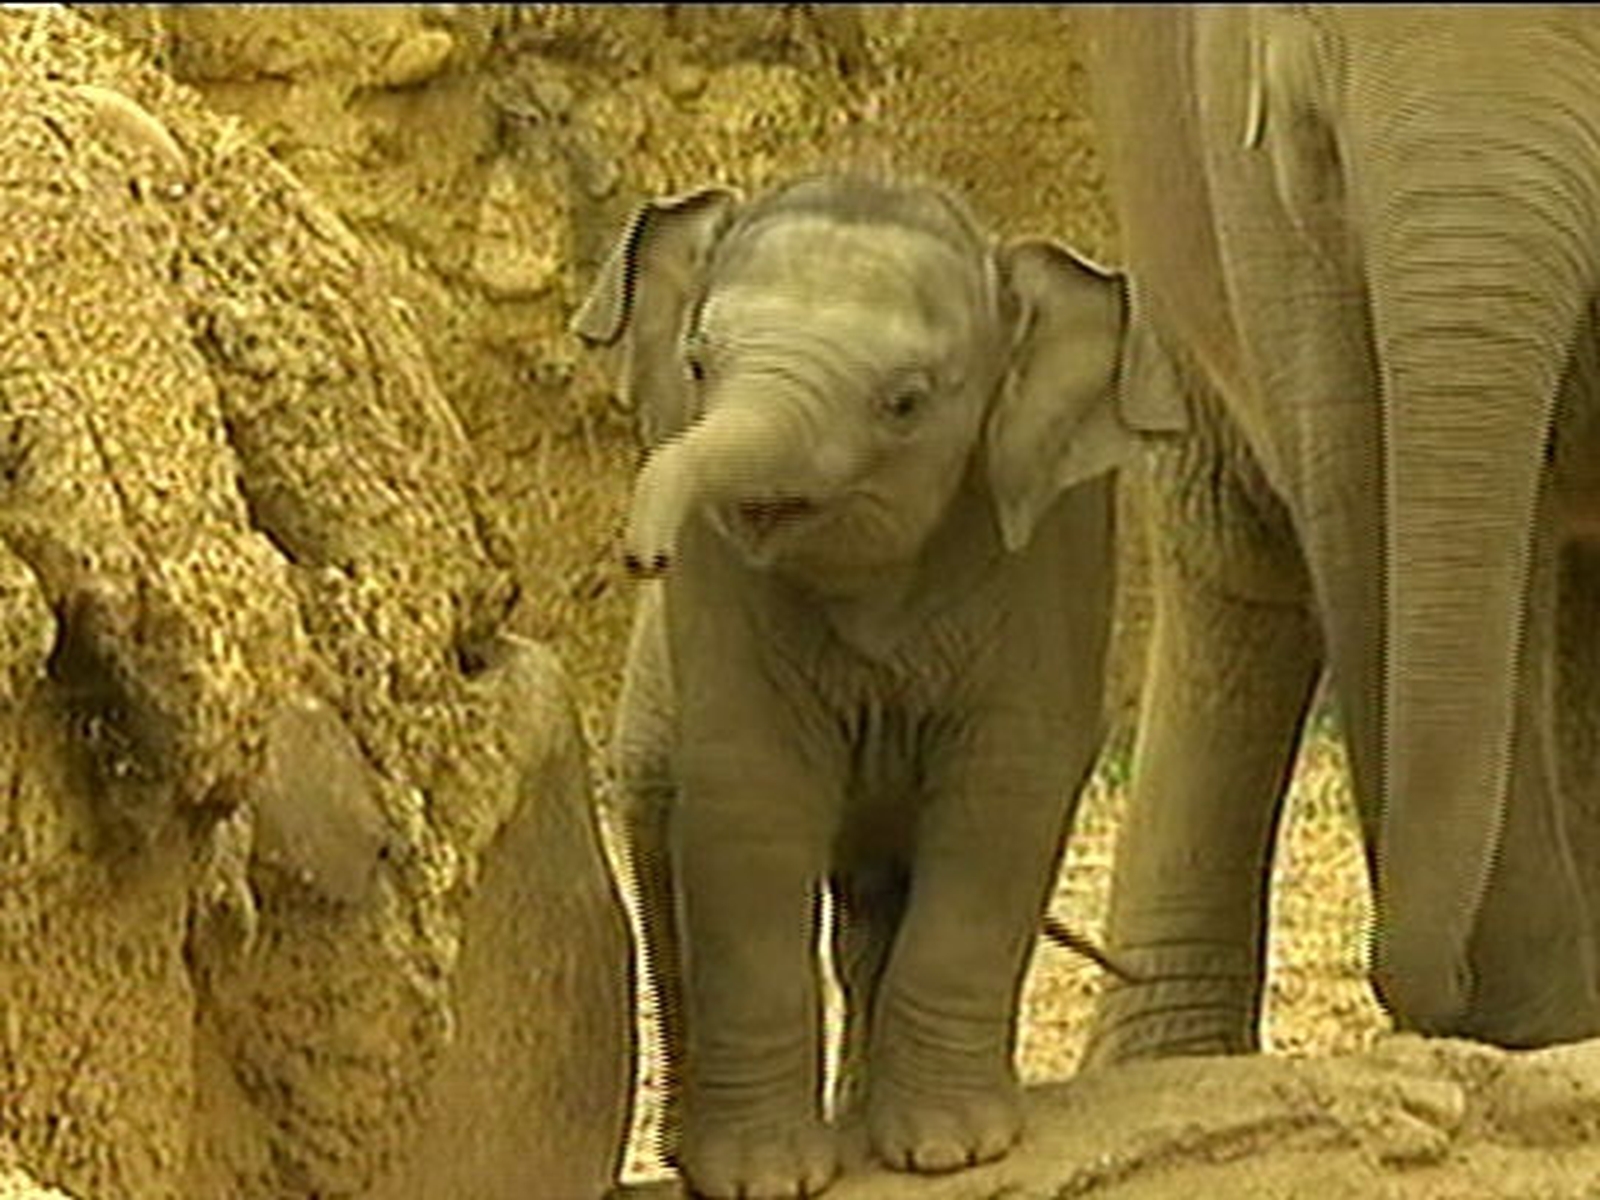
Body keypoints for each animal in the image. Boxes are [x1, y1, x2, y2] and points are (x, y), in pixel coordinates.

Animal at [571, 172, 1186, 1197]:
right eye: (696, 364)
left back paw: (867, 1122)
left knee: (872, 914)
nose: (644, 559)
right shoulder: (726, 593)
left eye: (905, 403)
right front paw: (763, 1178)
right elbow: (752, 801)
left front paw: (949, 1152)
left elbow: (1002, 798)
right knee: (668, 877)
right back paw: (695, 1151)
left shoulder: (1050, 550)